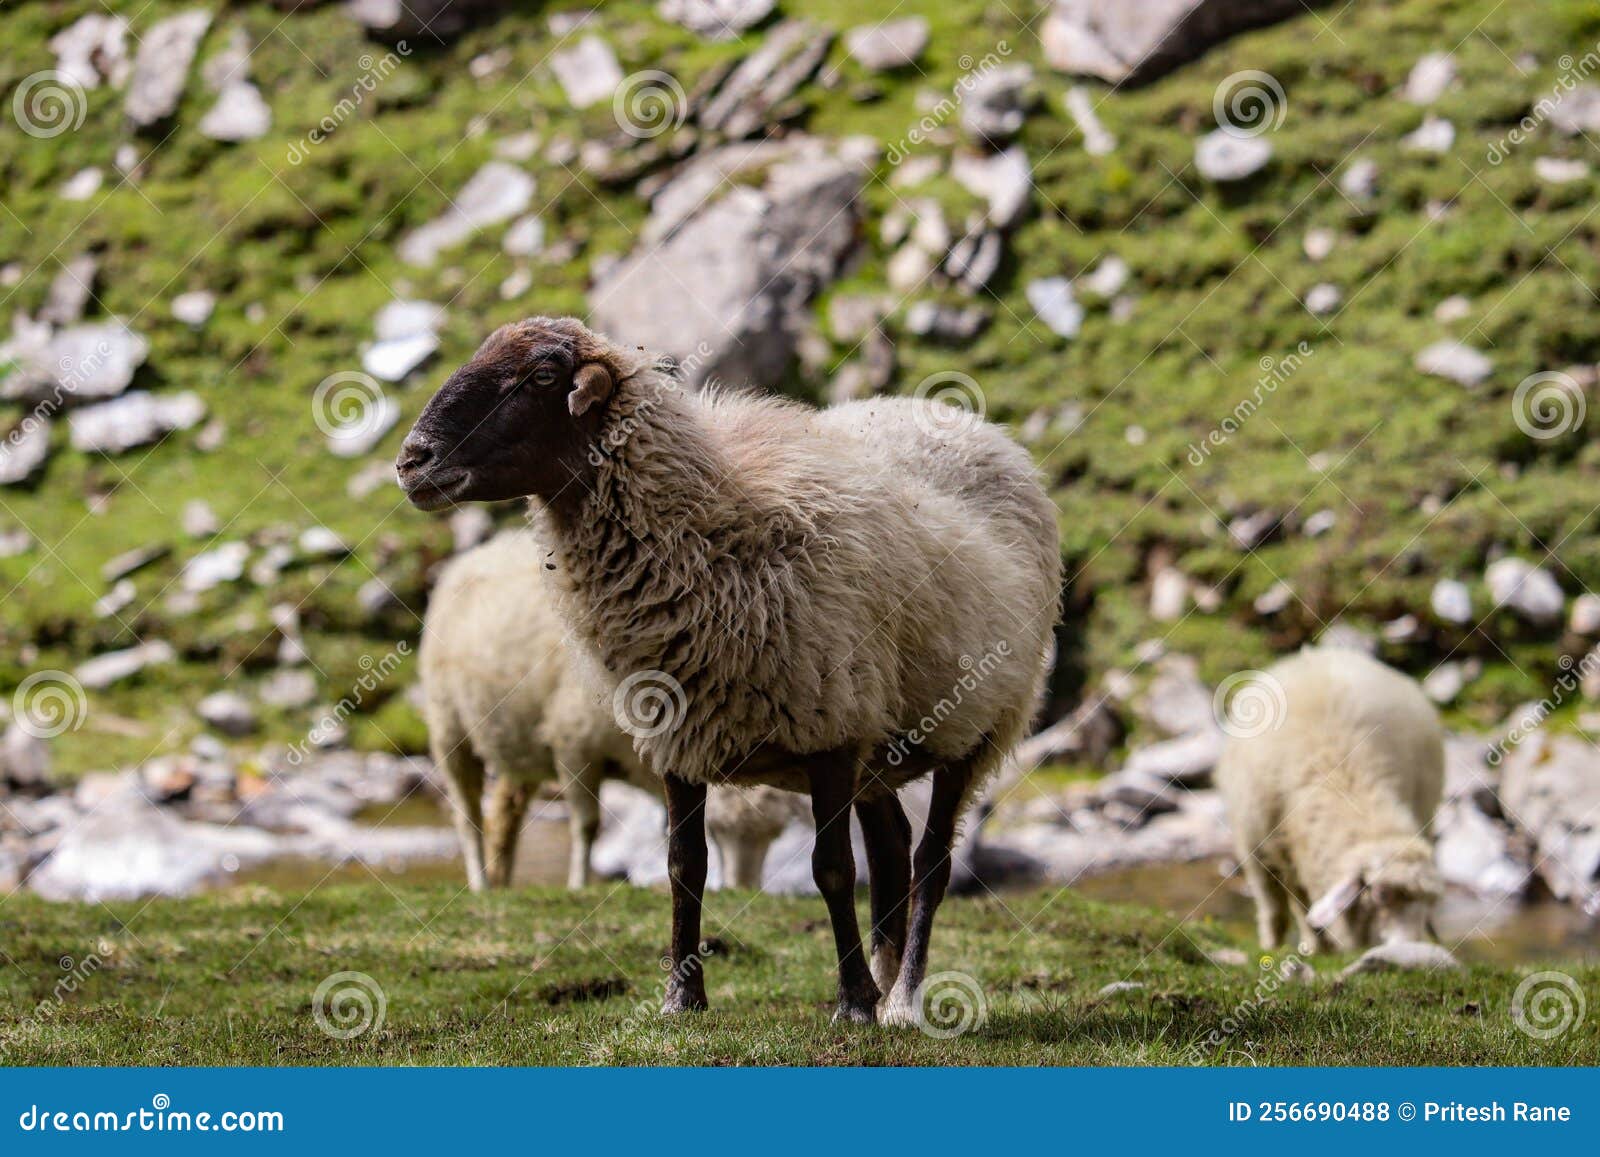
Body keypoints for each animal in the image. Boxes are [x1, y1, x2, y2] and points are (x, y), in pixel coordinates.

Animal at [421, 529, 797, 892]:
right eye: (718, 830)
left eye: (775, 835)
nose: (744, 889)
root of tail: (481, 550)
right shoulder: (573, 744)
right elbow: (587, 824)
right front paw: (578, 884)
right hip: (449, 729)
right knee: (467, 814)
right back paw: (481, 884)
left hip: (518, 736)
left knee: (506, 810)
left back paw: (501, 881)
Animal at [1215, 647, 1446, 954]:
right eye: (1381, 894)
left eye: (1431, 902)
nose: (1410, 947)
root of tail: (1319, 652)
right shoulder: (1265, 848)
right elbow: (1287, 908)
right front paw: (1301, 947)